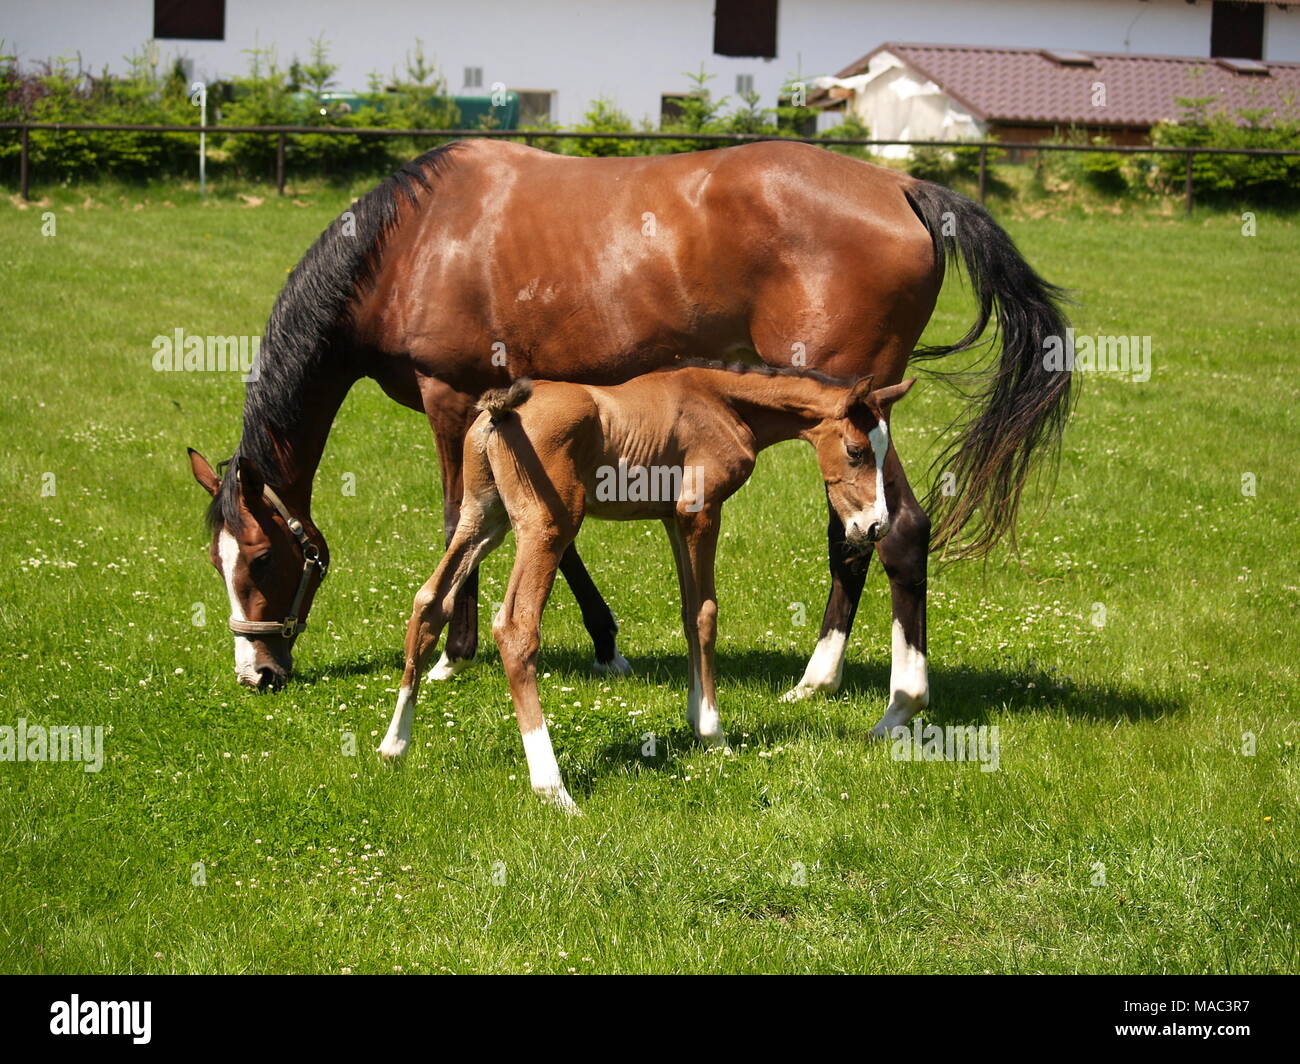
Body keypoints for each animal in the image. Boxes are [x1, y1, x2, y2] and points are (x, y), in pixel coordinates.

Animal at [188, 138, 1071, 697]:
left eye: (261, 560)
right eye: (218, 562)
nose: (257, 676)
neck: (412, 243)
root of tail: (903, 189)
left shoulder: (453, 402)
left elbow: (459, 521)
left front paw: (451, 655)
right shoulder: (527, 421)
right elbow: (547, 525)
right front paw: (605, 639)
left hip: (850, 417)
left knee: (894, 531)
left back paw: (864, 691)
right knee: (866, 534)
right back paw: (830, 681)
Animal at [378, 364, 918, 809]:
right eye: (855, 451)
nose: (874, 526)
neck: (722, 400)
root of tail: (499, 410)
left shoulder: (672, 519)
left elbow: (689, 613)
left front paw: (698, 721)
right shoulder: (700, 513)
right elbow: (706, 612)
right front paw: (714, 732)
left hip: (484, 517)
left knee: (430, 602)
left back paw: (394, 746)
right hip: (546, 526)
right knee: (515, 628)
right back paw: (552, 788)